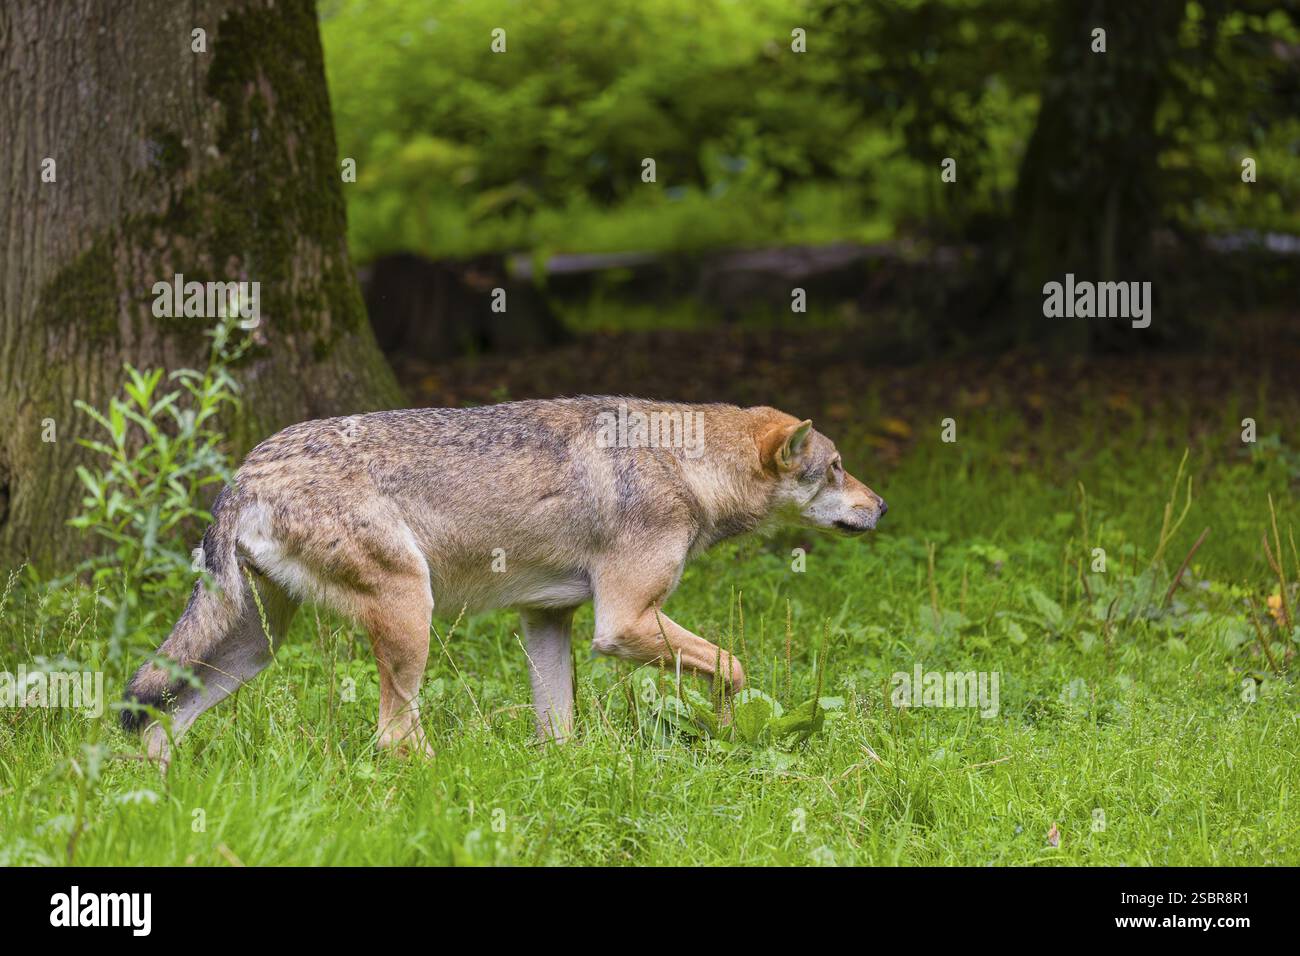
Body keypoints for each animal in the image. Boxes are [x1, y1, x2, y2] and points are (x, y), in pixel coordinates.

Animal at [121, 397, 886, 759]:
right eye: (837, 468)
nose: (881, 506)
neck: (686, 465)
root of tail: (245, 474)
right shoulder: (622, 625)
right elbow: (732, 665)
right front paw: (729, 730)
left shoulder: (547, 620)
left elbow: (560, 731)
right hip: (410, 612)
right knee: (394, 736)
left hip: (256, 648)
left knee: (157, 727)